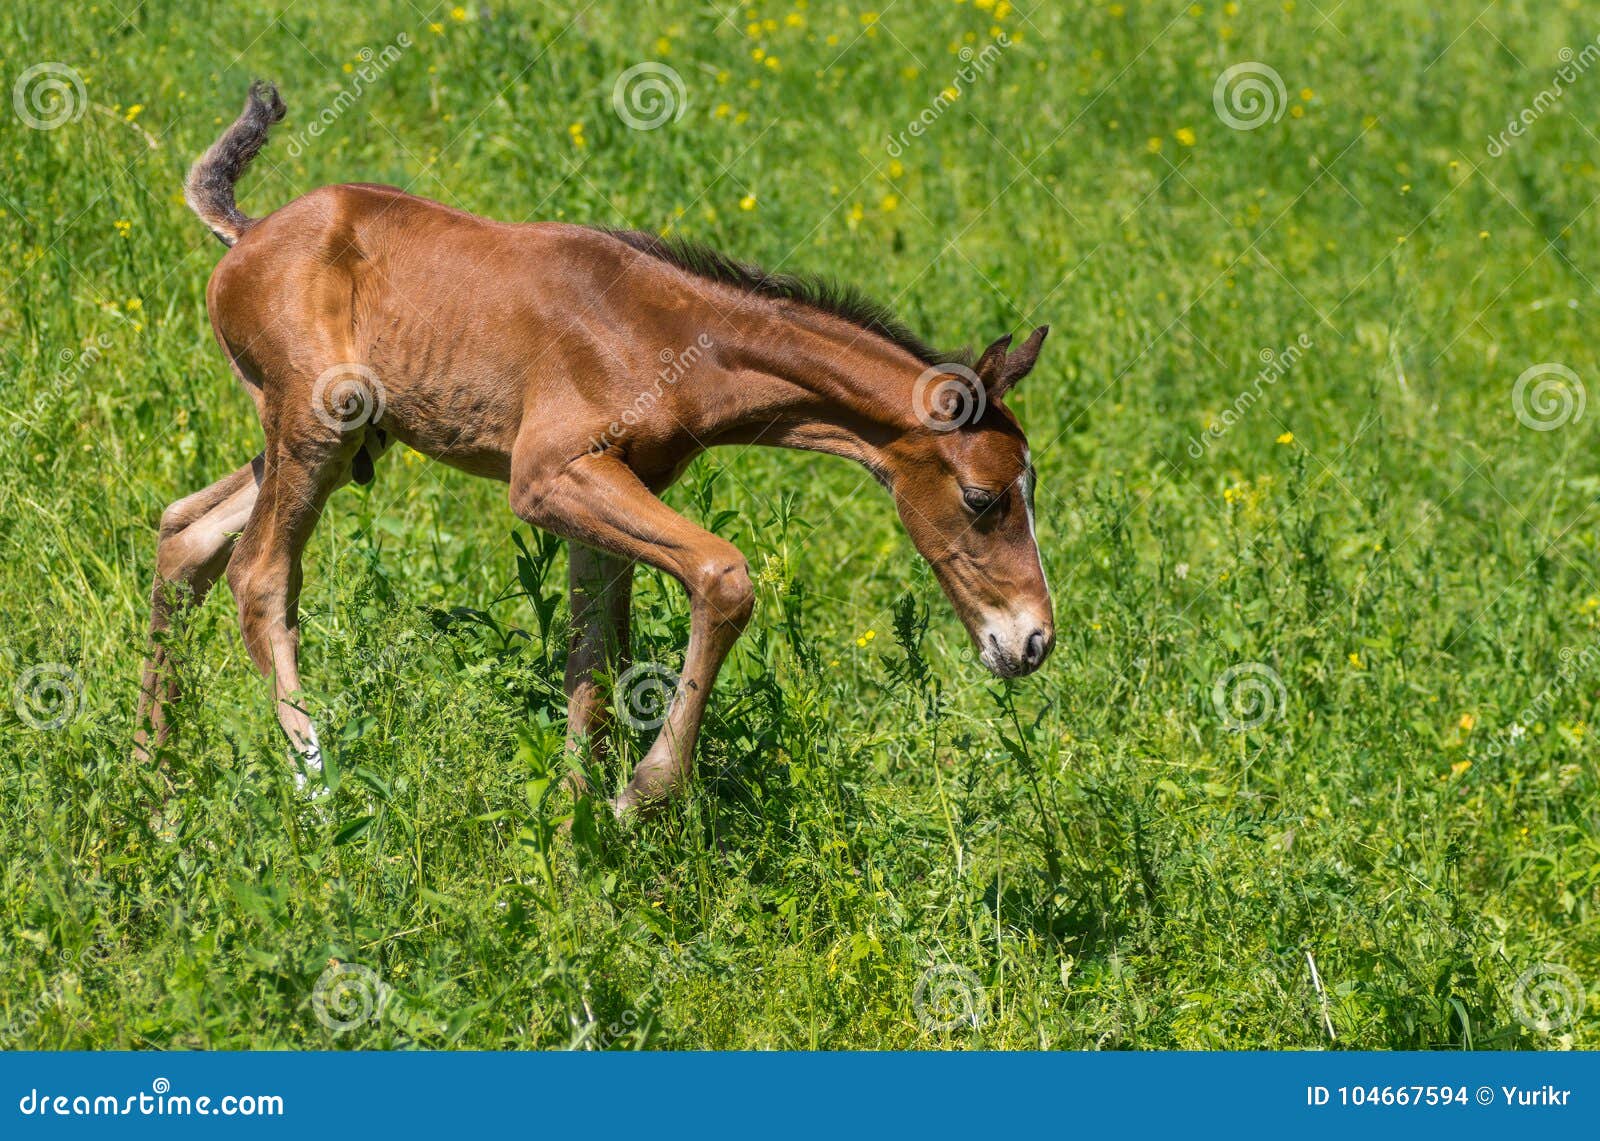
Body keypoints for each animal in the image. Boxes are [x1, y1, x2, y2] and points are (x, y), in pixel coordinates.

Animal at [135, 83, 1055, 816]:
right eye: (982, 498)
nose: (1033, 641)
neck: (680, 341)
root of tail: (246, 233)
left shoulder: (608, 492)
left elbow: (594, 655)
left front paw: (577, 826)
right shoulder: (549, 478)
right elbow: (724, 577)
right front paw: (637, 796)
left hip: (344, 436)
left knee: (186, 529)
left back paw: (155, 782)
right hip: (321, 421)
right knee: (260, 572)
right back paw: (315, 784)